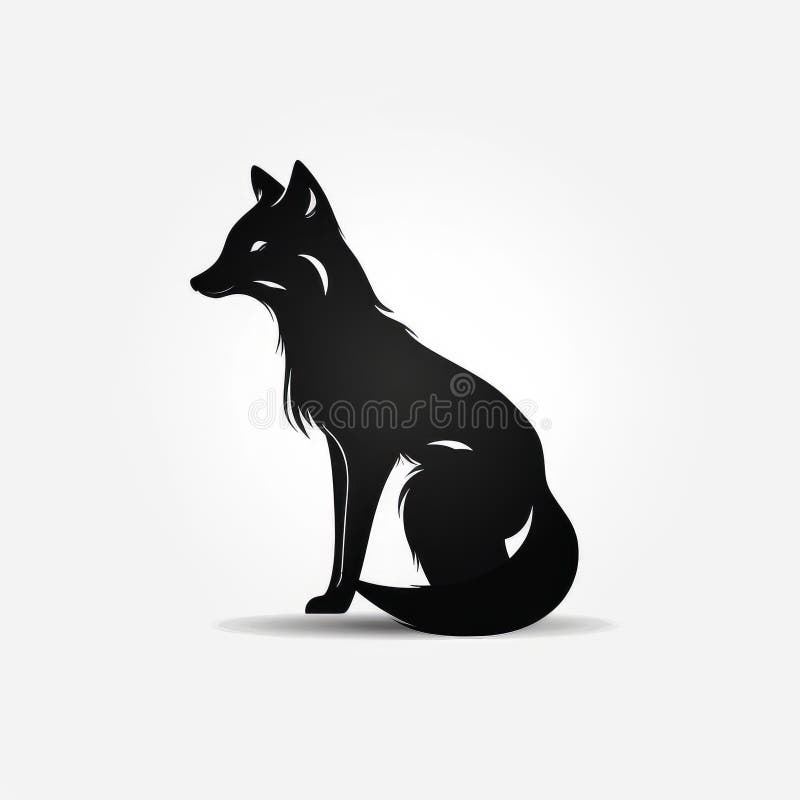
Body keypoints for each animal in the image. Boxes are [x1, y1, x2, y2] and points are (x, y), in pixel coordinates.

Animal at [191, 161, 578, 635]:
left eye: (259, 246)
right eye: (228, 243)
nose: (194, 281)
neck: (333, 334)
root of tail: (544, 485)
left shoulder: (369, 456)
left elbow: (355, 538)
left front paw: (339, 600)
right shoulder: (339, 454)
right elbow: (340, 533)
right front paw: (331, 596)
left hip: (427, 497)